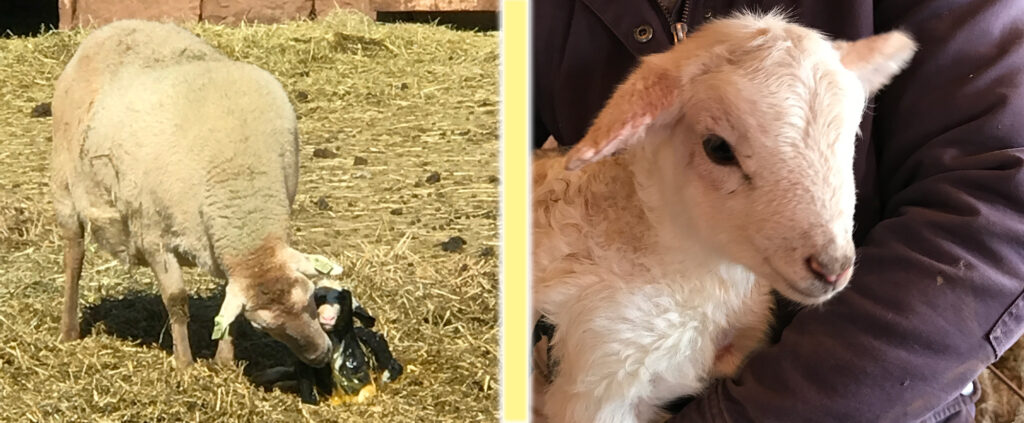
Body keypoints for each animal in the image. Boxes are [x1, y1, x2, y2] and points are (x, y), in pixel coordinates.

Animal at [50, 20, 340, 368]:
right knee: (74, 255)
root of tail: (115, 27)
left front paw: (225, 361)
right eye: (262, 326)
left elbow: (227, 309)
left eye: (310, 297)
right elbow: (176, 301)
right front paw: (185, 363)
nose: (320, 356)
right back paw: (68, 330)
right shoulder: (153, 236)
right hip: (65, 186)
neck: (239, 179)